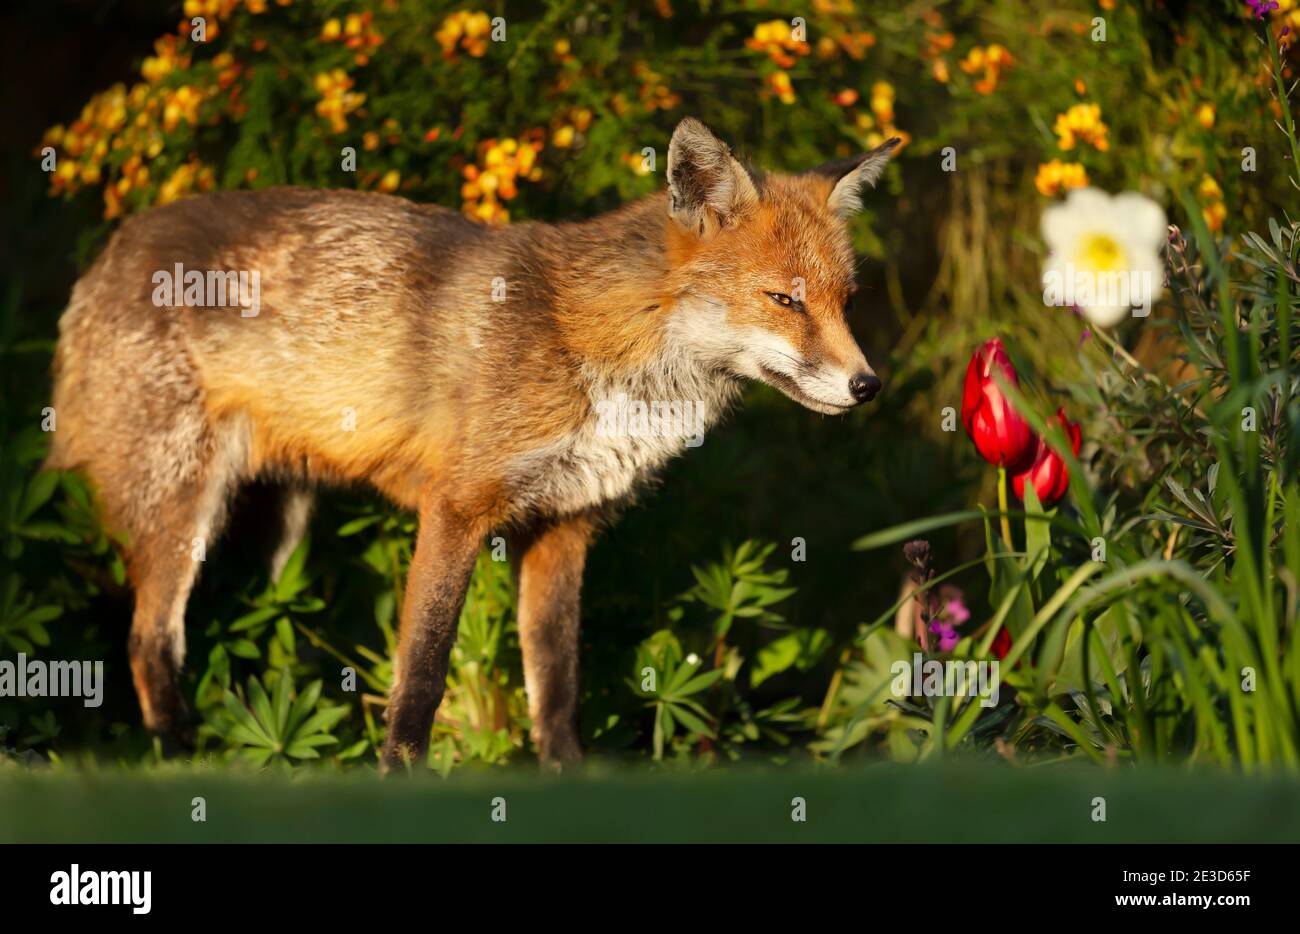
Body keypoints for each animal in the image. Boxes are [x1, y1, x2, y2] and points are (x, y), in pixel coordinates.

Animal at [46, 117, 896, 769]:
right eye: (784, 300)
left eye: (846, 301)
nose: (868, 386)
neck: (599, 346)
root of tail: (109, 248)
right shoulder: (456, 510)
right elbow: (422, 674)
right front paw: (400, 778)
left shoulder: (564, 525)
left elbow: (554, 680)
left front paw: (568, 778)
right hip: (183, 511)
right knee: (147, 638)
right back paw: (180, 752)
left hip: (279, 536)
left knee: (256, 629)